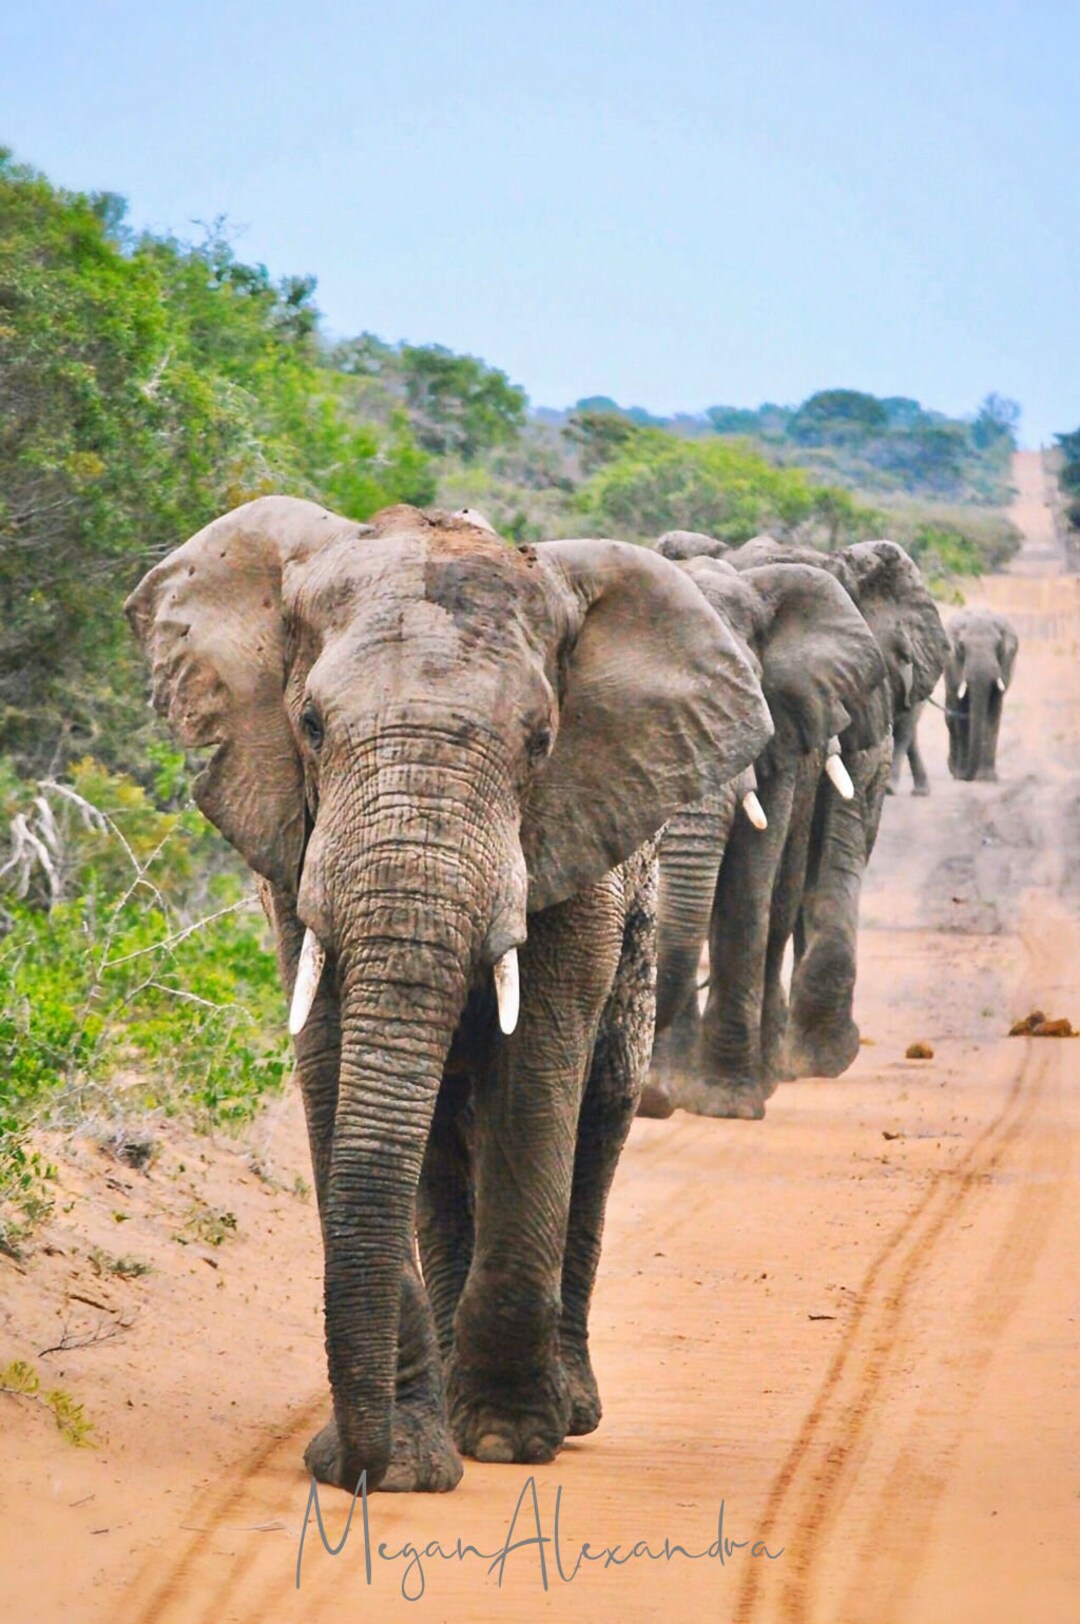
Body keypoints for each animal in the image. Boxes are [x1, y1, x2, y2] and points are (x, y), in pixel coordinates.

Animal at [126, 497, 771, 1493]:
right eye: (310, 724)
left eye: (540, 742)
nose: (353, 1470)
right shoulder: (293, 855)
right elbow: (331, 1067)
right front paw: (401, 1469)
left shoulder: (575, 842)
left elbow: (537, 1073)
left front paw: (507, 1441)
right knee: (434, 1140)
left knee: (598, 1116)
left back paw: (566, 1410)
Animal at [645, 533, 948, 1117]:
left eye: (750, 697)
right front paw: (661, 1092)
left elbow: (759, 886)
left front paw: (729, 1100)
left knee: (782, 908)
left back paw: (781, 1067)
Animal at [944, 609, 1018, 781]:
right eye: (961, 646)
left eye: (998, 646)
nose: (968, 776)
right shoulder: (955, 665)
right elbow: (962, 715)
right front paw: (962, 775)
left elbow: (991, 715)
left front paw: (987, 778)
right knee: (951, 718)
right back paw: (955, 771)